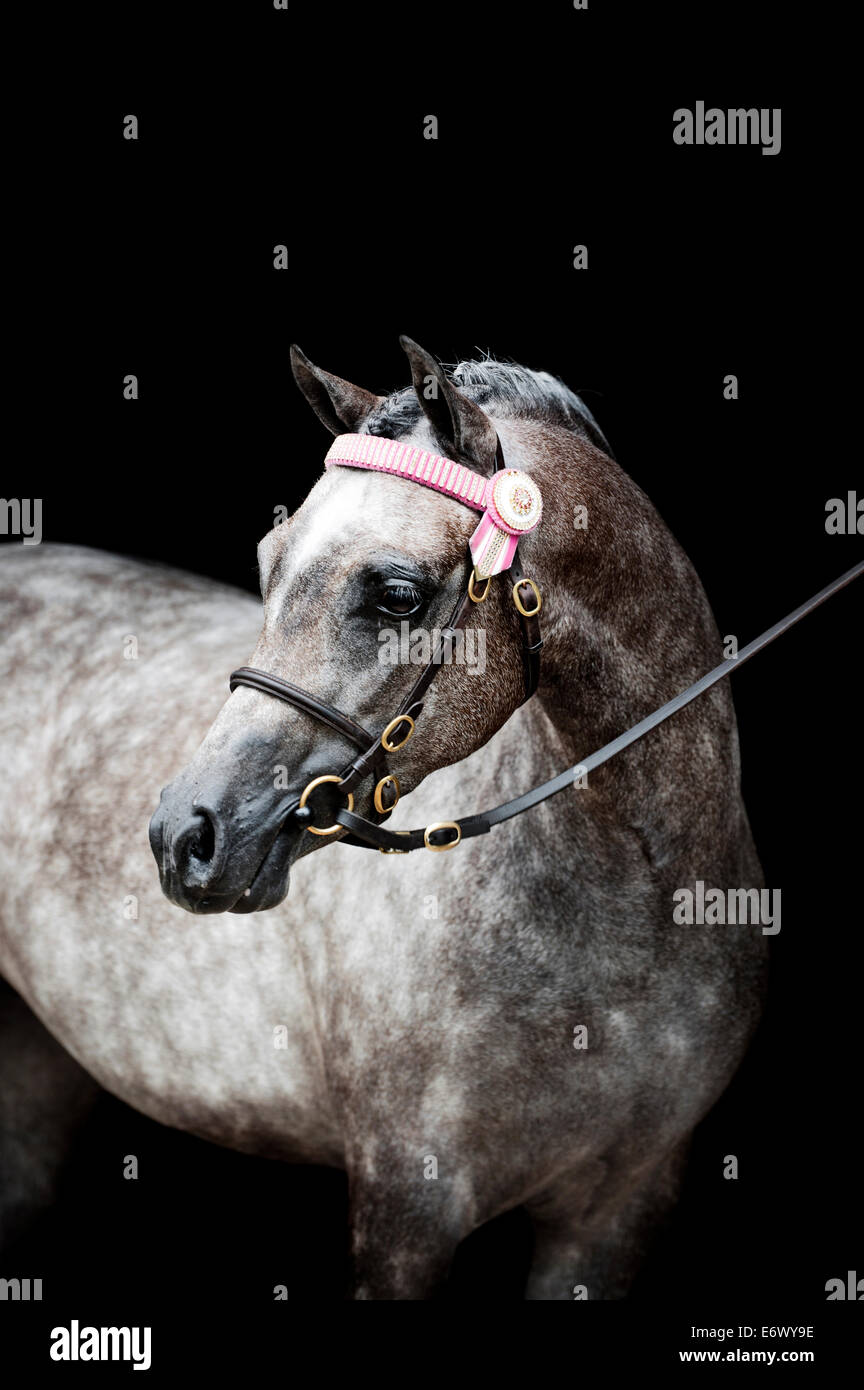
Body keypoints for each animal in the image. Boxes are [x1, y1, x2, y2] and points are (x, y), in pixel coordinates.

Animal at [0, 338, 767, 1298]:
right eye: (269, 562)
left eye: (397, 594)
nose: (186, 837)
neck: (634, 922)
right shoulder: (408, 1213)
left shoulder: (616, 1214)